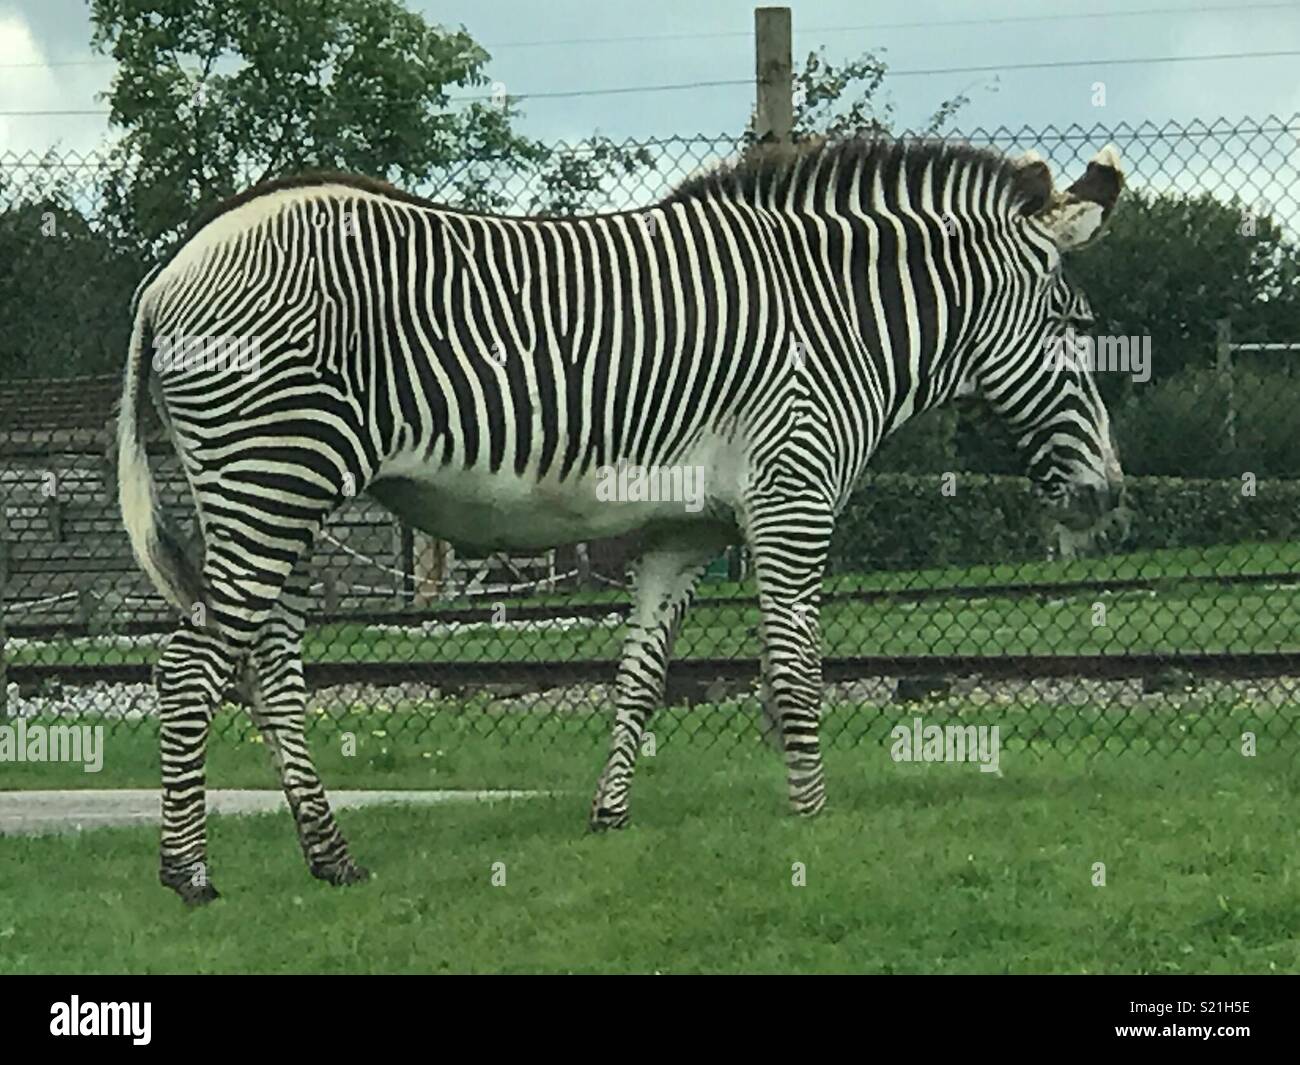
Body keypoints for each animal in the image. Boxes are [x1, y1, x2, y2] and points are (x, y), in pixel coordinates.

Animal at [118, 138, 1125, 903]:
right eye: (1074, 324)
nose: (1109, 498)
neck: (834, 321)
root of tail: (167, 272)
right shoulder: (792, 497)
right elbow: (796, 675)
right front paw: (812, 823)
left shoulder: (688, 531)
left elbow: (641, 677)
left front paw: (610, 816)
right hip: (272, 479)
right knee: (187, 666)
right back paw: (188, 874)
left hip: (280, 494)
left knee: (270, 672)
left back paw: (331, 859)